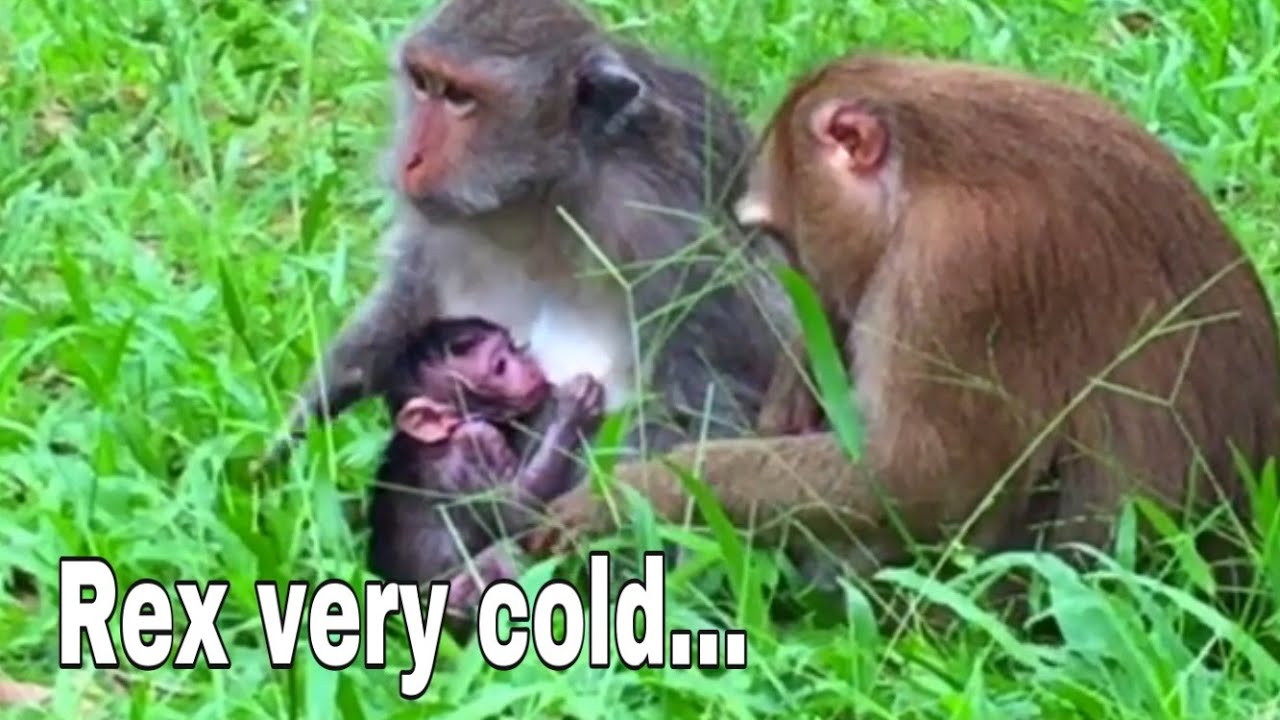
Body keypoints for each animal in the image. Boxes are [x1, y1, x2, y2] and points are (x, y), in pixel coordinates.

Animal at [264, 0, 793, 467]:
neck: (539, 198)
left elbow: (708, 402)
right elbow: (404, 305)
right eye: (423, 82)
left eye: (460, 97)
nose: (409, 159)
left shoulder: (667, 233)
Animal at [368, 316, 604, 614]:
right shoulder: (472, 447)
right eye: (500, 366)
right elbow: (517, 513)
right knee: (498, 555)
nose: (527, 361)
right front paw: (572, 409)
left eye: (514, 348)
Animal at [526, 53, 1280, 595]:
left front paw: (631, 494)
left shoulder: (957, 270)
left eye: (781, 237)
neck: (941, 164)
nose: (822, 295)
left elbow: (916, 481)